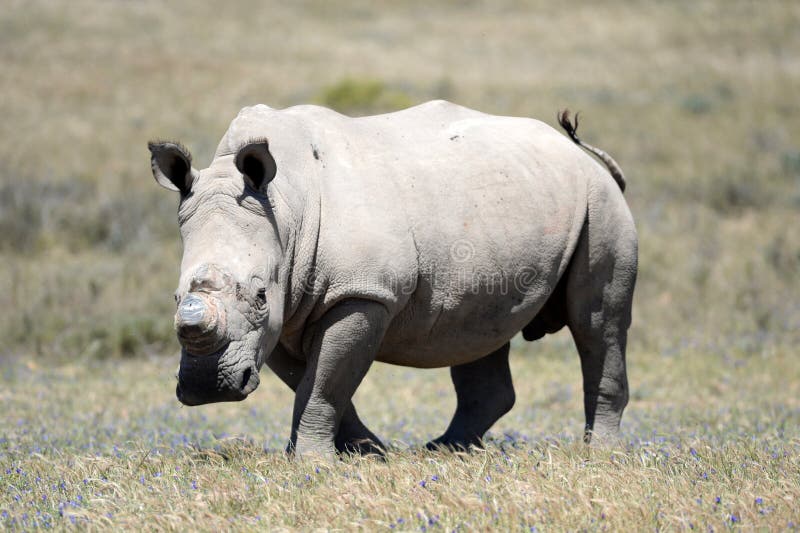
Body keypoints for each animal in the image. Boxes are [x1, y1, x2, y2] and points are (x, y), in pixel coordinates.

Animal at [148, 101, 637, 457]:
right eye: (173, 297)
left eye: (259, 295)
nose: (207, 387)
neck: (285, 207)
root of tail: (581, 155)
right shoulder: (285, 313)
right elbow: (315, 381)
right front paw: (368, 452)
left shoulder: (360, 293)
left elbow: (324, 382)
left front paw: (312, 461)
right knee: (478, 327)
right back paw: (445, 451)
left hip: (599, 203)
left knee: (598, 323)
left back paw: (600, 455)